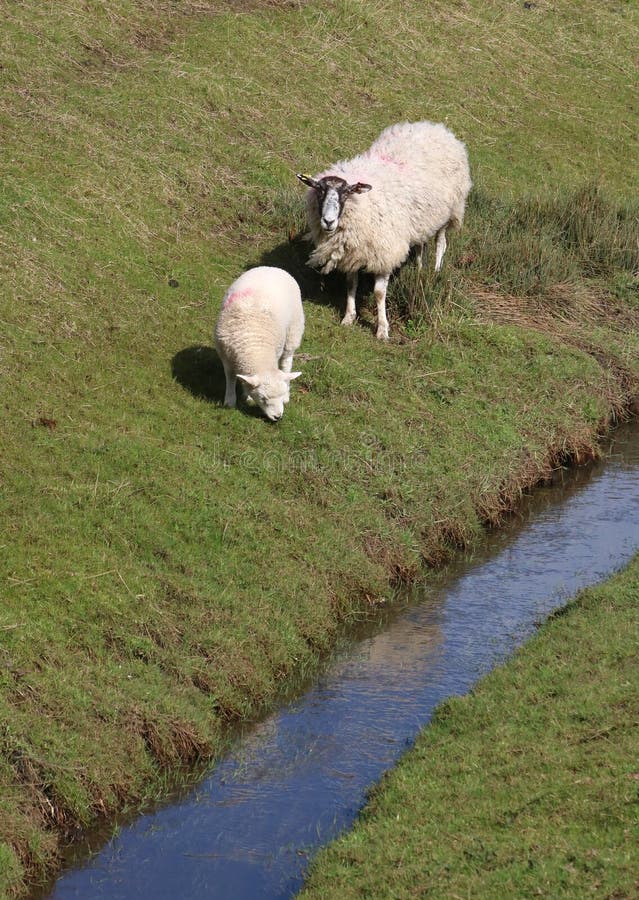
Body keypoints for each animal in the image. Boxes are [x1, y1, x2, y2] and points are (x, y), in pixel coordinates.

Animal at [214, 266, 304, 422]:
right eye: (263, 398)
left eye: (280, 396)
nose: (277, 417)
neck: (255, 347)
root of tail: (274, 268)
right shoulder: (226, 356)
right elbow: (231, 377)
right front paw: (230, 400)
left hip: (294, 329)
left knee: (286, 361)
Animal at [296, 120, 471, 340]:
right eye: (320, 191)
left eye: (345, 194)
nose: (328, 221)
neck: (363, 205)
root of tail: (436, 127)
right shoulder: (353, 251)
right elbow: (351, 284)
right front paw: (348, 317)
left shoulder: (385, 251)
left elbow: (380, 293)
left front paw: (382, 329)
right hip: (422, 219)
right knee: (420, 245)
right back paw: (419, 269)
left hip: (450, 212)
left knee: (441, 243)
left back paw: (436, 270)